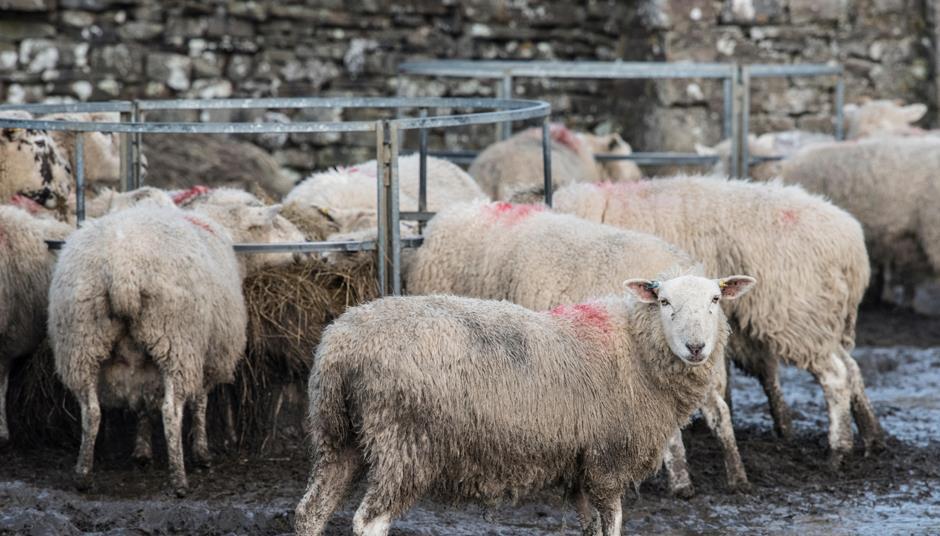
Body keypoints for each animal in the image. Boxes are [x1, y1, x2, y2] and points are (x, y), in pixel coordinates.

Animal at [48, 202, 301, 495]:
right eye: (277, 223)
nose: (303, 245)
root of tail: (122, 270)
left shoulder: (144, 369)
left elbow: (143, 405)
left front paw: (142, 452)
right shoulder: (210, 355)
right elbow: (200, 401)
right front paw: (202, 454)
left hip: (82, 342)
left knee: (91, 410)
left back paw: (83, 475)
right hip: (176, 342)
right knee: (171, 411)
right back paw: (179, 479)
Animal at [294, 272, 755, 536]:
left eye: (715, 300)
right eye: (664, 302)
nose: (696, 347)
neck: (635, 347)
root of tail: (343, 345)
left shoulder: (579, 462)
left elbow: (591, 528)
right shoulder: (606, 461)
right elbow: (612, 526)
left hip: (338, 434)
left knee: (310, 512)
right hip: (404, 440)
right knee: (369, 522)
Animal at [405, 201, 751, 496]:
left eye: (715, 299)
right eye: (665, 302)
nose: (696, 346)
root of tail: (459, 209)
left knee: (719, 412)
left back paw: (736, 476)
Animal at [550, 176, 881, 468]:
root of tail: (852, 241)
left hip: (799, 313)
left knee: (835, 375)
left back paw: (838, 451)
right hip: (820, 318)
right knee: (850, 366)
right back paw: (870, 437)